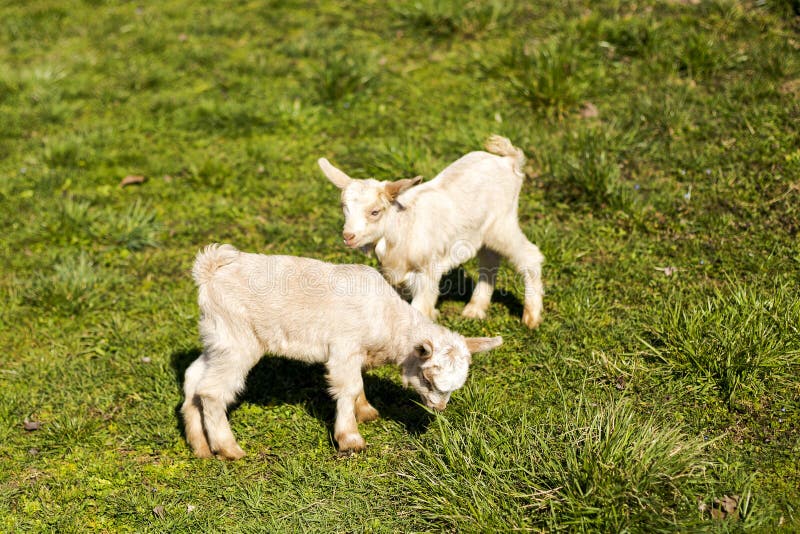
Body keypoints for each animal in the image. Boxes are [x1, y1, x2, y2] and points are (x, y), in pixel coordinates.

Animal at [182, 244, 502, 459]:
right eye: (428, 378)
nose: (439, 409)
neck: (387, 318)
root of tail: (209, 272)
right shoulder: (344, 348)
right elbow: (347, 388)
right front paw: (350, 438)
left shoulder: (356, 354)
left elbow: (358, 384)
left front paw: (366, 411)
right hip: (238, 339)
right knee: (212, 391)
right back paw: (228, 449)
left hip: (217, 337)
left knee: (193, 378)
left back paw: (200, 446)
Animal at [318, 135, 544, 328]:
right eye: (344, 207)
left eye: (375, 212)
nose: (348, 236)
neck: (401, 227)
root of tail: (509, 161)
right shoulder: (394, 274)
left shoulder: (427, 271)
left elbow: (419, 309)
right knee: (490, 260)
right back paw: (474, 310)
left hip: (502, 224)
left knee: (529, 255)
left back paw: (531, 317)